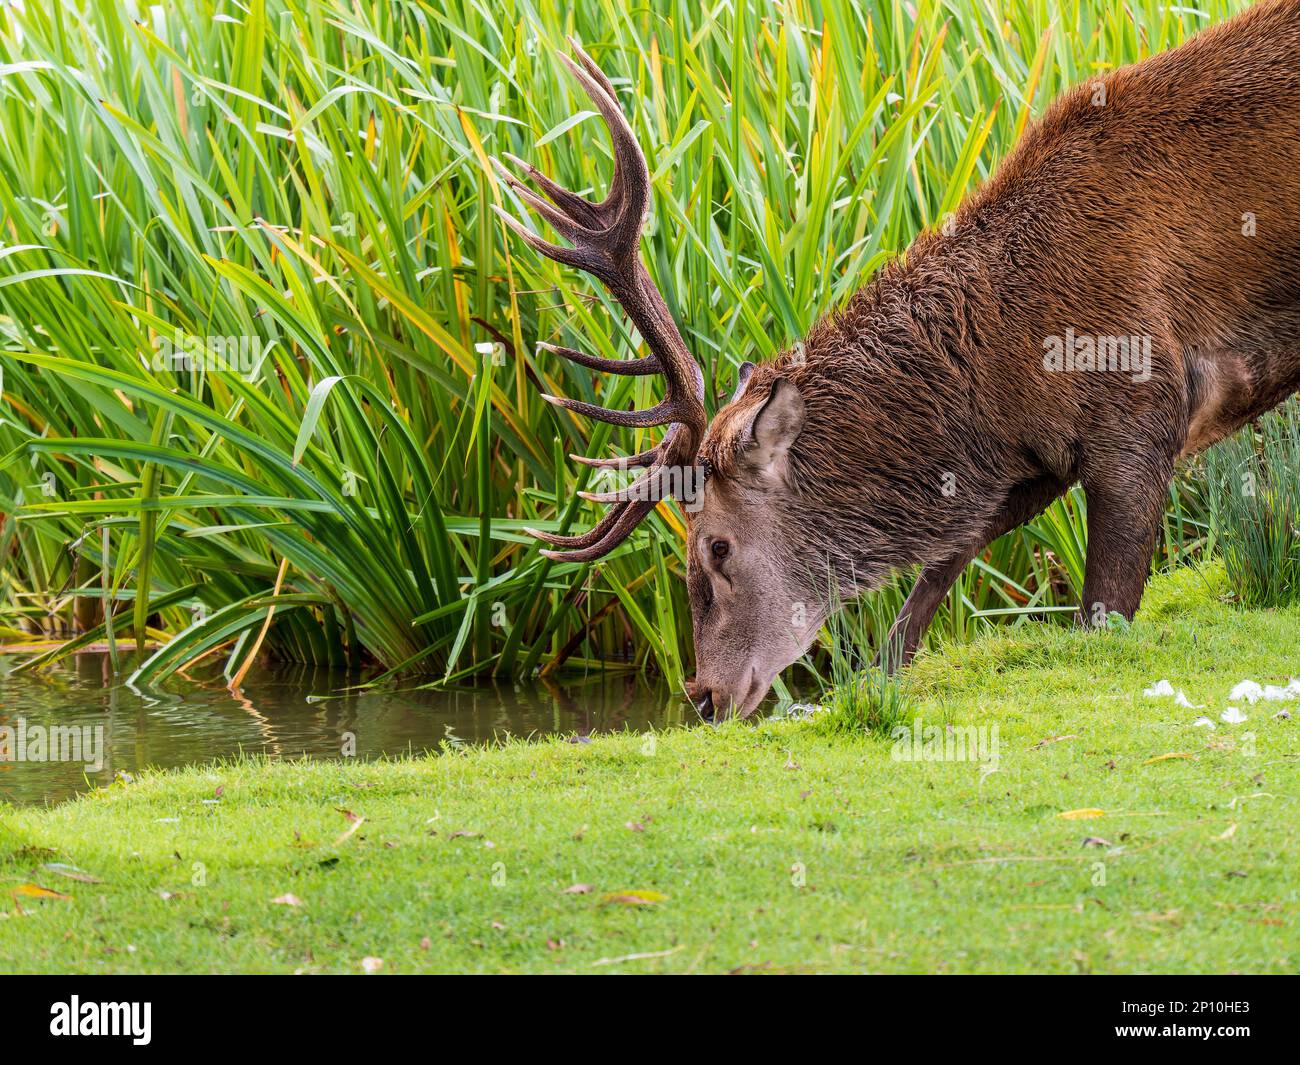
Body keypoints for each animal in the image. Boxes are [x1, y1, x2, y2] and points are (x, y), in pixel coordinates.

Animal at [494, 0, 1300, 720]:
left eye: (717, 547)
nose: (703, 695)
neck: (1014, 362)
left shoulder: (1139, 418)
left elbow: (1100, 613)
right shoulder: (1032, 462)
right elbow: (930, 585)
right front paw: (869, 682)